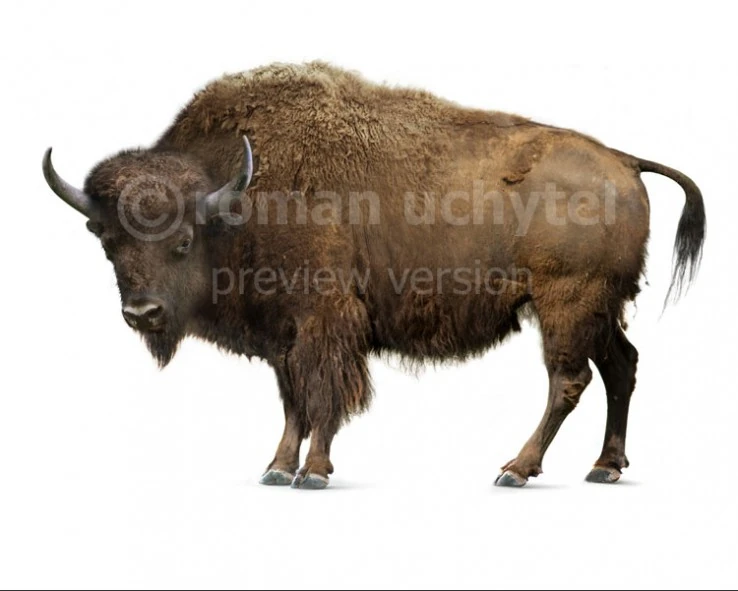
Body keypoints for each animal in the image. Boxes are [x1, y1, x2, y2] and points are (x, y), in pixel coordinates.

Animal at [43, 62, 704, 488]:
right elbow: (292, 398)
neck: (236, 197)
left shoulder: (324, 321)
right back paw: (605, 467)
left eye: (182, 242)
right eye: (105, 241)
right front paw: (277, 468)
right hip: (601, 307)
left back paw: (516, 470)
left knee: (569, 380)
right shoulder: (283, 333)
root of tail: (623, 161)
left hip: (565, 303)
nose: (142, 313)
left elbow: (322, 394)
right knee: (622, 365)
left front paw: (312, 472)